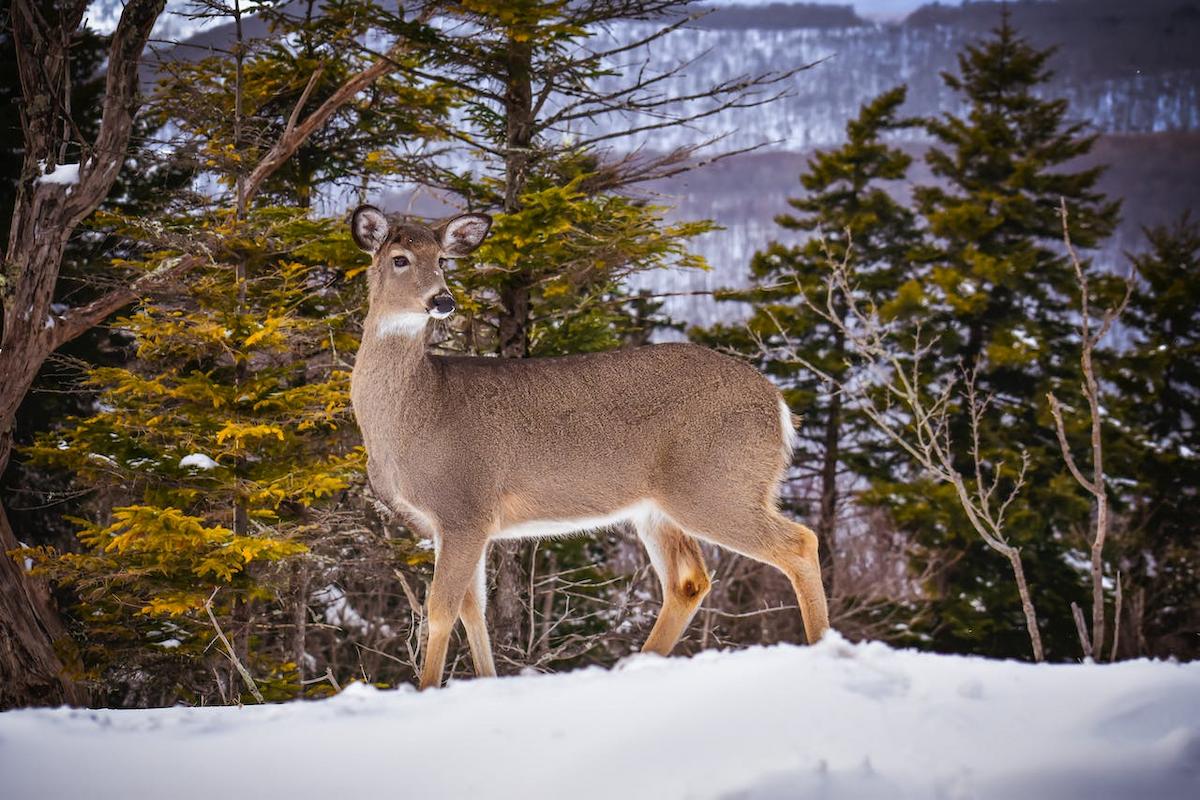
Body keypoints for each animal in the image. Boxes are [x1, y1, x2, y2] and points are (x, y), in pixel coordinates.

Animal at [347, 205, 830, 689]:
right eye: (400, 259)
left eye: (443, 260)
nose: (442, 300)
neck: (417, 411)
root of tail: (778, 404)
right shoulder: (447, 525)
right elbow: (473, 610)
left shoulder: (465, 506)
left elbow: (441, 610)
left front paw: (428, 689)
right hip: (659, 507)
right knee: (689, 580)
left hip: (715, 485)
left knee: (799, 542)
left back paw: (822, 648)